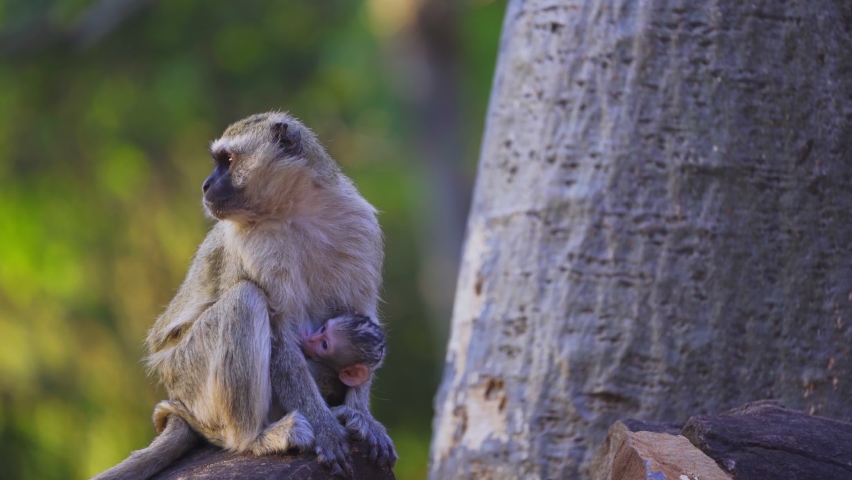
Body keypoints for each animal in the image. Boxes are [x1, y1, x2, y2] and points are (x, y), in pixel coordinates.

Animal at [93, 112, 396, 480]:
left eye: (228, 160)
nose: (205, 185)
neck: (296, 212)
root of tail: (176, 393)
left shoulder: (359, 224)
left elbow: (360, 317)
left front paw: (361, 417)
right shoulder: (255, 248)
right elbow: (280, 337)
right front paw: (326, 428)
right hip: (187, 374)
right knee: (245, 299)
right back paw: (254, 438)